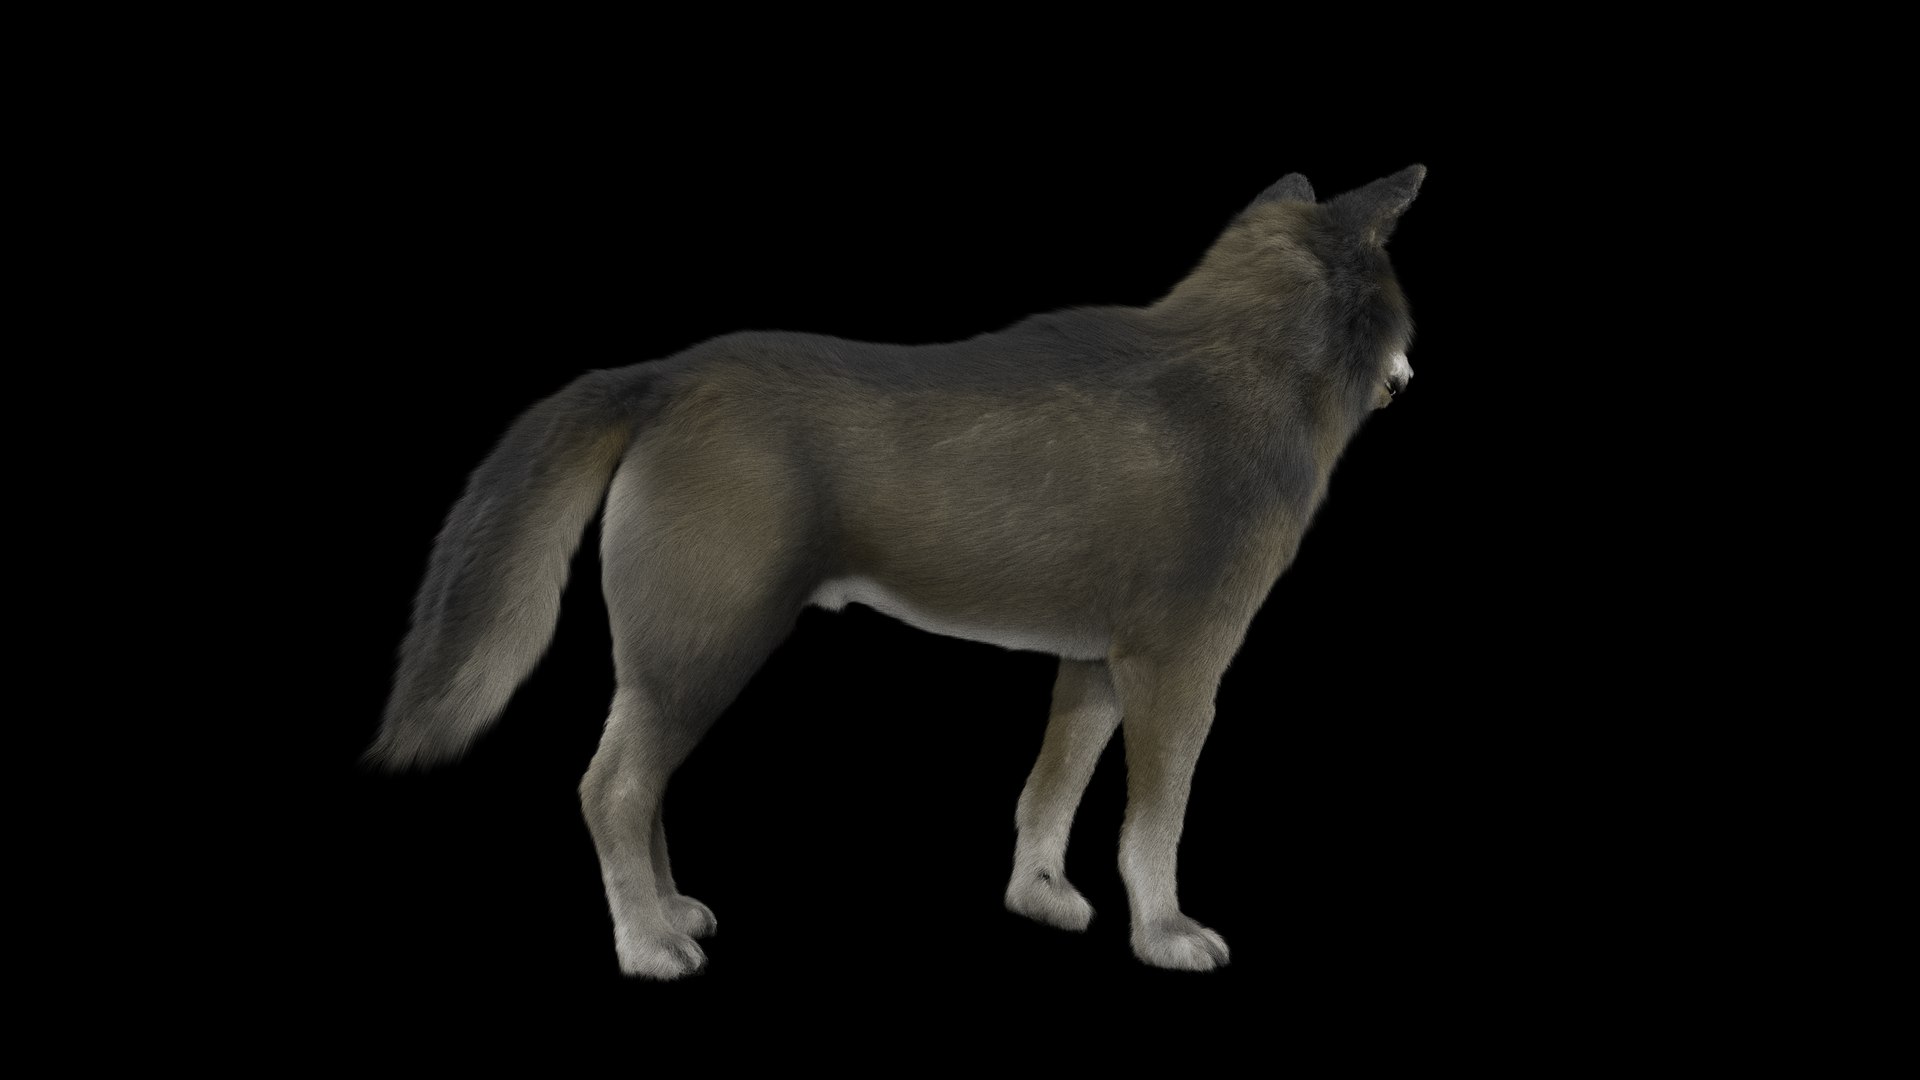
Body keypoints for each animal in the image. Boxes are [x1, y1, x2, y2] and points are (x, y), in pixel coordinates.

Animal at [366, 166, 1426, 978]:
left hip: (674, 664)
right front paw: (1164, 935)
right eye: (1401, 304)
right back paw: (647, 945)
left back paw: (670, 912)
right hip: (705, 648)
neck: (1243, 364)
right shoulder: (1179, 670)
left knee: (641, 787)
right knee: (613, 789)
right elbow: (1152, 824)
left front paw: (1039, 897)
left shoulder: (1093, 665)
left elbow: (1048, 789)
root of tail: (664, 378)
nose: (1413, 376)